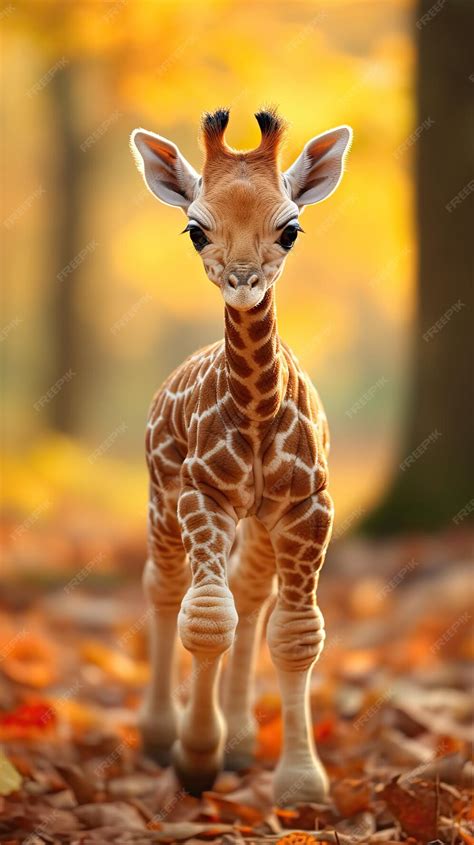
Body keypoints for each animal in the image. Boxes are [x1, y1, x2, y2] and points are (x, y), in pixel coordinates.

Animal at [130, 108, 352, 806]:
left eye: (291, 228)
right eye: (195, 230)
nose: (244, 284)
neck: (255, 413)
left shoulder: (308, 508)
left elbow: (296, 633)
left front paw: (301, 785)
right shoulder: (204, 495)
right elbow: (207, 619)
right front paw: (194, 758)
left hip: (257, 523)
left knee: (249, 594)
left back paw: (243, 743)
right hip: (162, 494)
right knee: (168, 586)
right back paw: (160, 735)